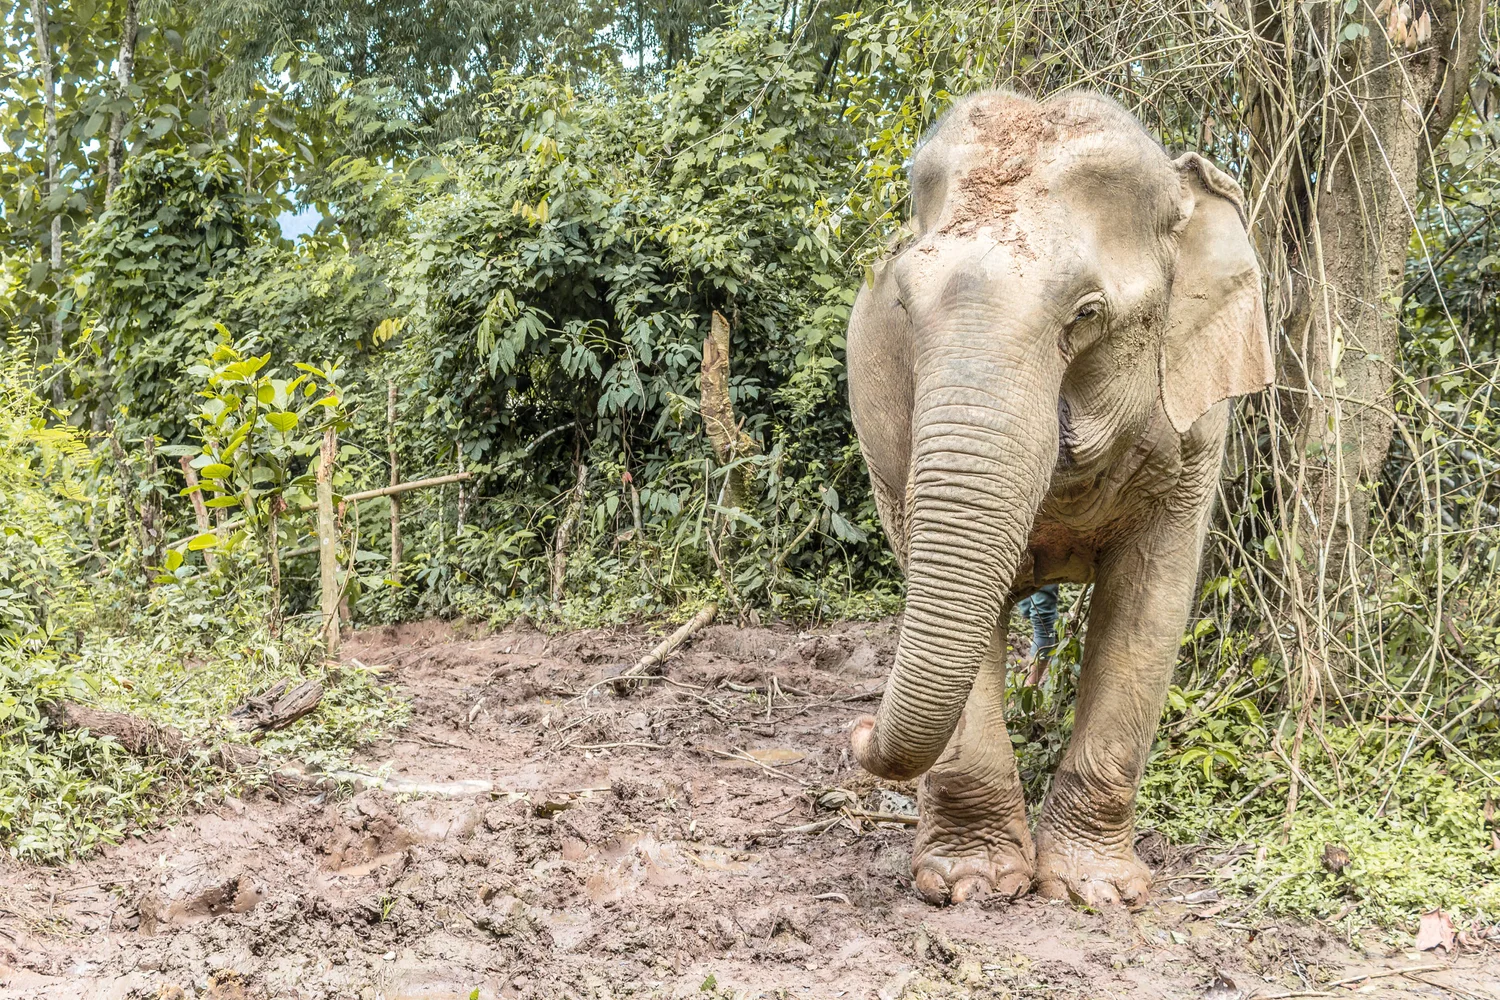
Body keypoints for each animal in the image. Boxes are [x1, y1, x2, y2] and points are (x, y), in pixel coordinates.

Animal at [845, 89, 1272, 910]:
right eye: (903, 308)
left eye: (1086, 313)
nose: (855, 736)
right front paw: (972, 885)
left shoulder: (1197, 433)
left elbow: (1147, 607)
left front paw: (1098, 892)